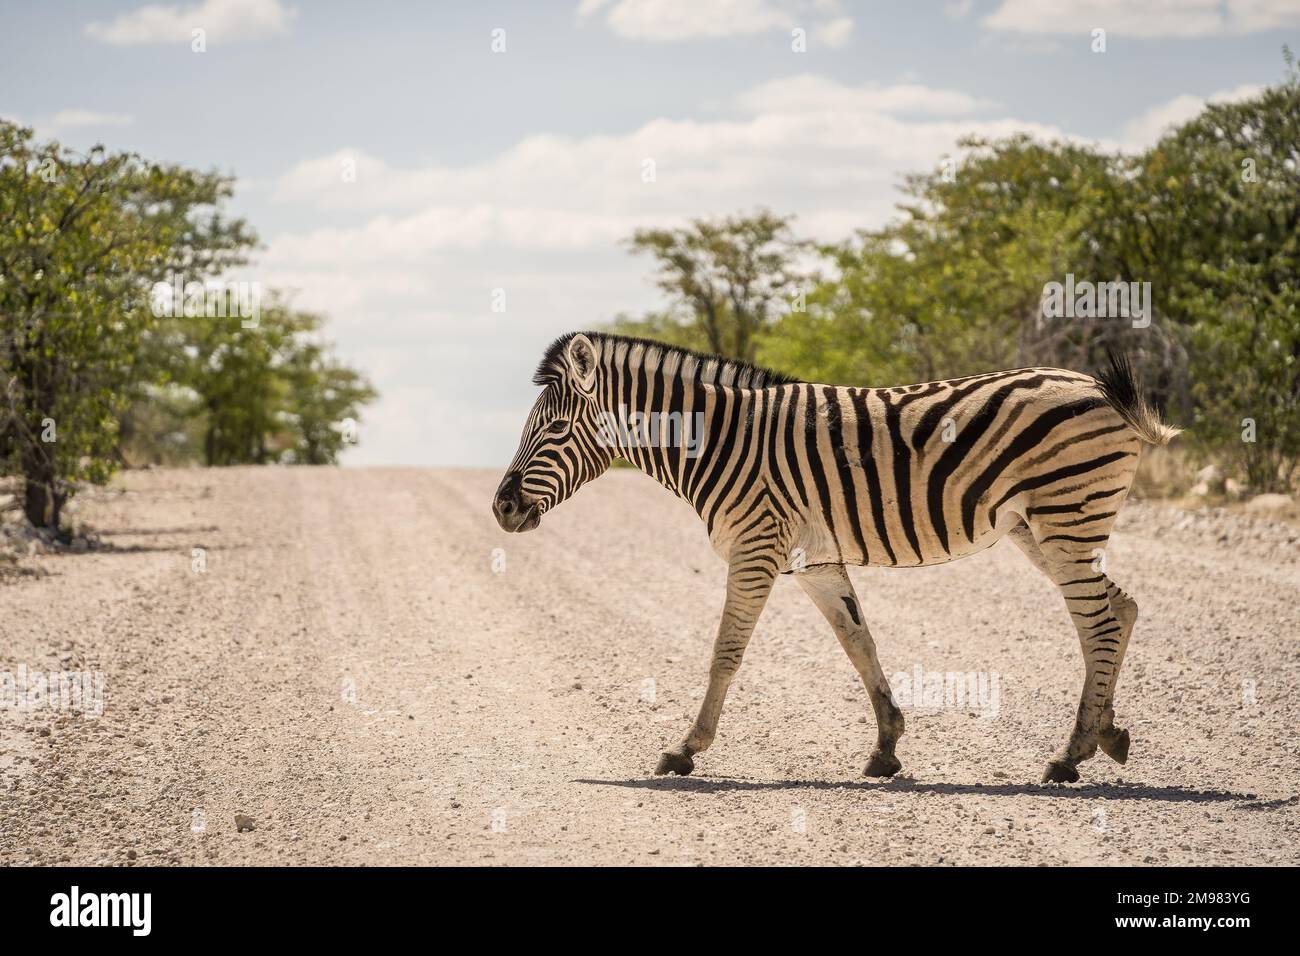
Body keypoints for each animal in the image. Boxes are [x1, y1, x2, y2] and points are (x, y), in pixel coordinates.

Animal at [492, 332, 1179, 784]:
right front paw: (886, 746)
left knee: (1099, 620)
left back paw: (1071, 753)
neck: (716, 442)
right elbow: (859, 642)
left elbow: (725, 652)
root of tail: (1096, 386)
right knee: (1118, 609)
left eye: (554, 431)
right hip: (1040, 527)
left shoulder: (755, 548)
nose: (501, 507)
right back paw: (1106, 733)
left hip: (1066, 516)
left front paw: (686, 749)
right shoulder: (814, 560)